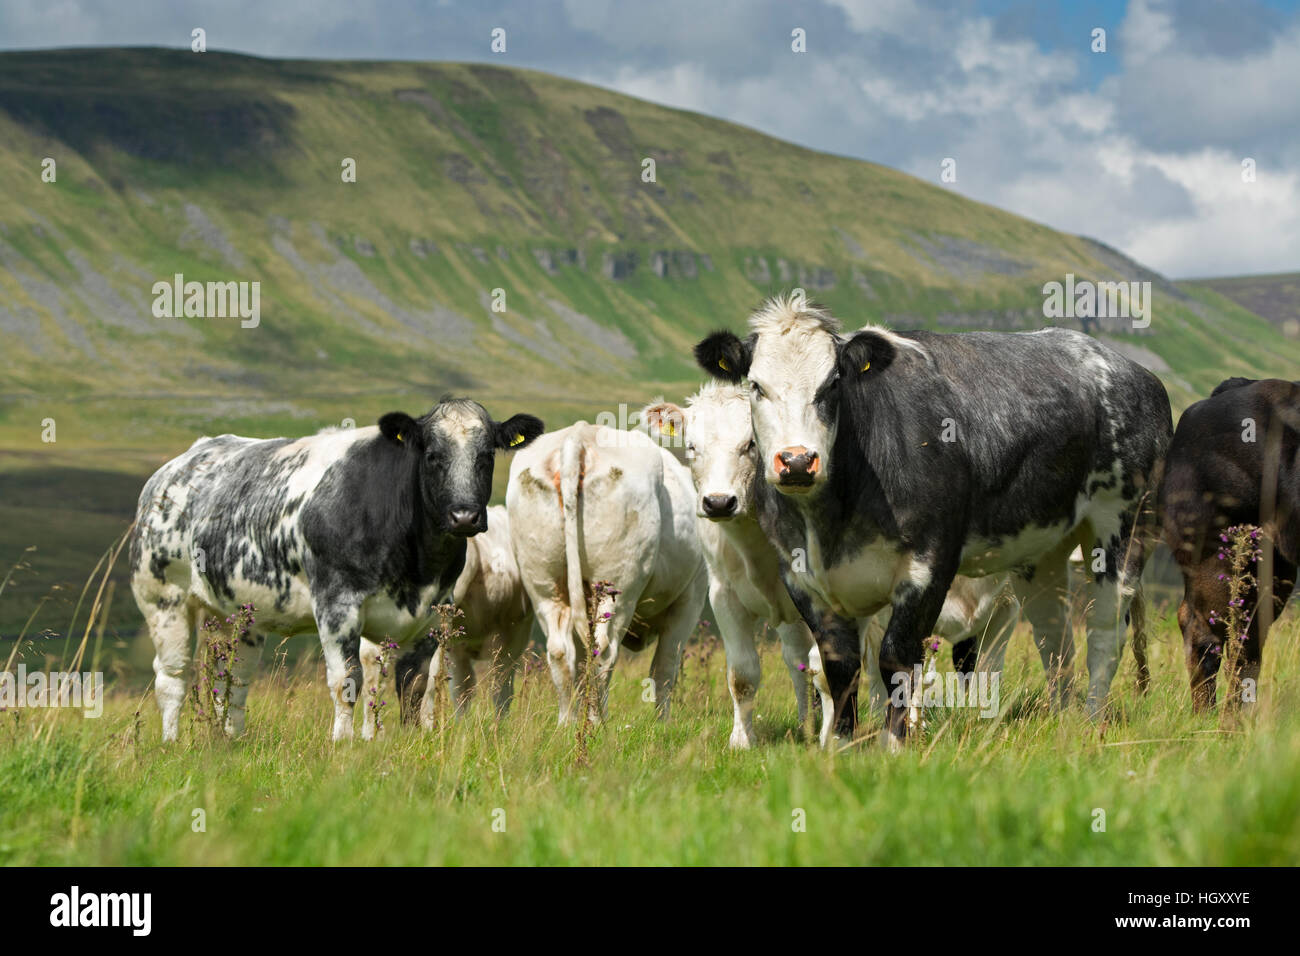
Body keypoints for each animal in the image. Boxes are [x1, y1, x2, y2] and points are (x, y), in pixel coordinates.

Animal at [506, 422, 708, 724]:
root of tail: (579, 435)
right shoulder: (692, 596)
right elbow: (665, 668)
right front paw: (663, 724)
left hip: (544, 585)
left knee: (561, 652)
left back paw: (567, 723)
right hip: (620, 586)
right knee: (603, 650)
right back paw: (597, 722)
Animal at [642, 383, 1018, 749]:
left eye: (750, 444)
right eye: (691, 447)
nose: (719, 502)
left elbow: (830, 670)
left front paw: (831, 736)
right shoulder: (724, 594)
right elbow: (743, 674)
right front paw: (743, 741)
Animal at [694, 294, 1170, 749]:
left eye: (832, 383)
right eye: (756, 386)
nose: (796, 461)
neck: (832, 519)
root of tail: (1127, 368)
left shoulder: (930, 563)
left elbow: (898, 660)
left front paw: (895, 745)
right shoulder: (802, 579)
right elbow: (840, 668)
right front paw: (840, 747)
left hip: (1124, 524)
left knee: (1105, 633)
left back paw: (1092, 722)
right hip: (1044, 549)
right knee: (1054, 636)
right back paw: (1064, 721)